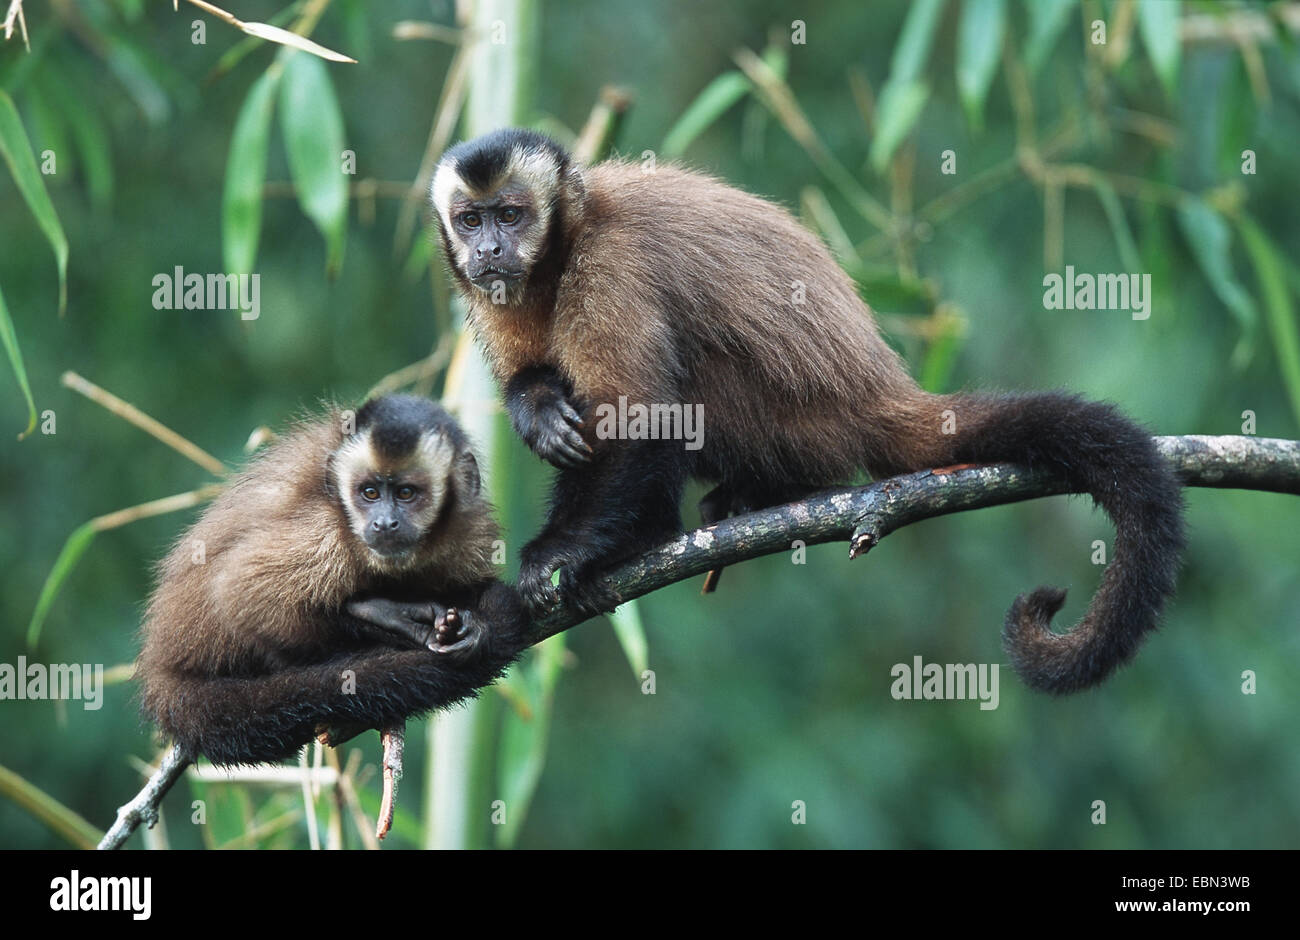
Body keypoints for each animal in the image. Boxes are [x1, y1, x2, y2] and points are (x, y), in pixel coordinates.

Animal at [135, 394, 531, 766]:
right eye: (369, 493)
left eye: (406, 493)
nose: (384, 523)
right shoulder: (325, 534)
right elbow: (242, 593)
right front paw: (390, 618)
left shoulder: (470, 532)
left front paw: (475, 627)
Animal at [428, 127, 1187, 696]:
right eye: (471, 219)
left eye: (512, 214)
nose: (489, 247)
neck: (561, 252)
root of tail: (879, 391)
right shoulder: (497, 292)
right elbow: (539, 378)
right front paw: (535, 403)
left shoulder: (607, 265)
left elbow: (640, 412)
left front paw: (568, 548)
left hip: (800, 422)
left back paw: (668, 524)